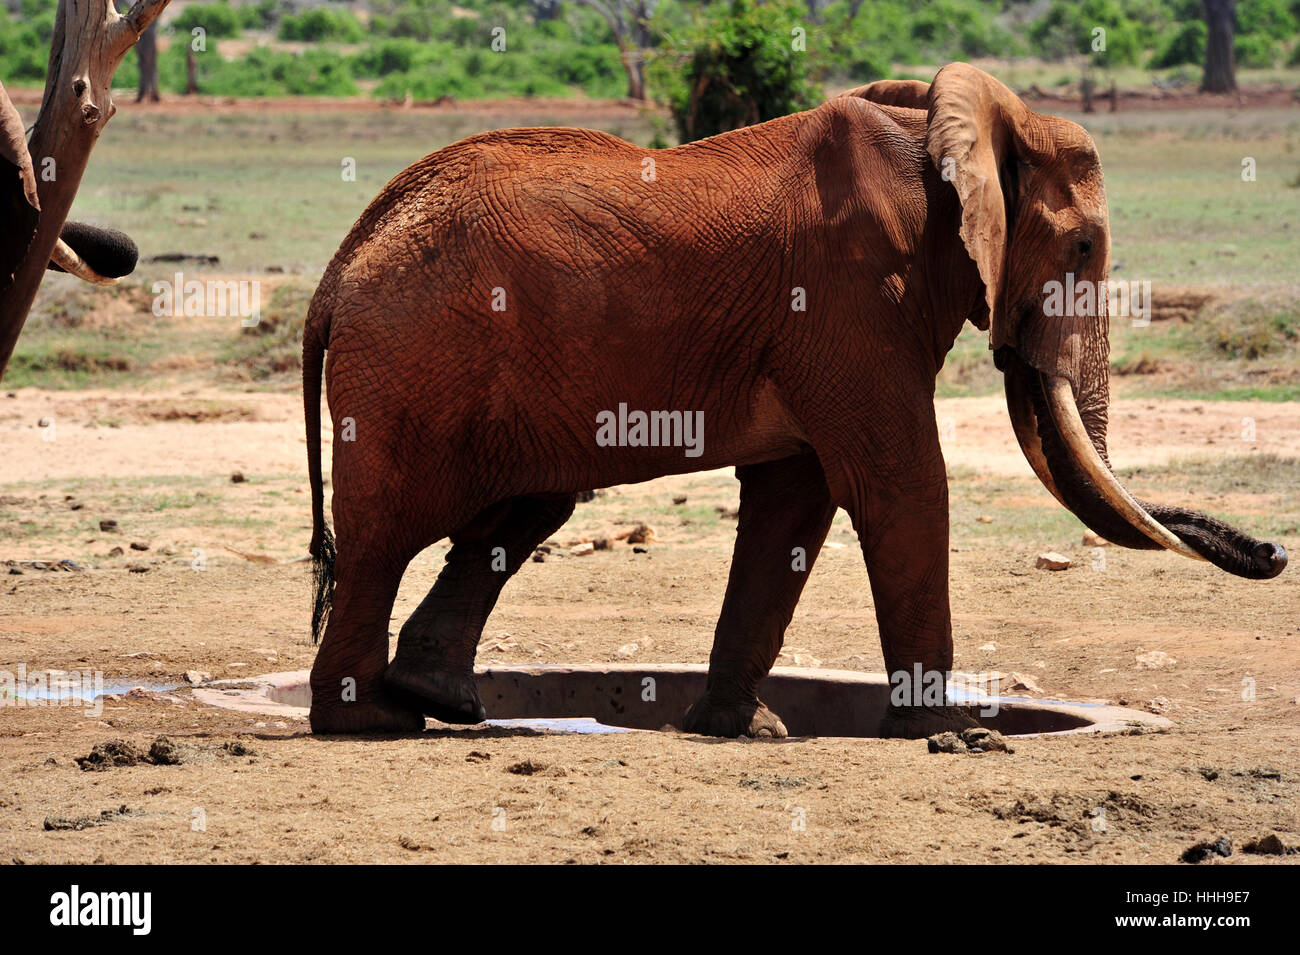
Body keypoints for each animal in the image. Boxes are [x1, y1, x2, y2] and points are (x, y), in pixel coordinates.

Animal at [301, 62, 1286, 737]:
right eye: (1084, 248)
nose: (1276, 551)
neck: (947, 124)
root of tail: (343, 260)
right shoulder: (851, 297)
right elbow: (901, 483)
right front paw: (951, 735)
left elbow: (793, 505)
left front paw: (744, 730)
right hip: (412, 358)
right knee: (389, 528)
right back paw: (369, 720)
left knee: (525, 508)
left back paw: (435, 700)